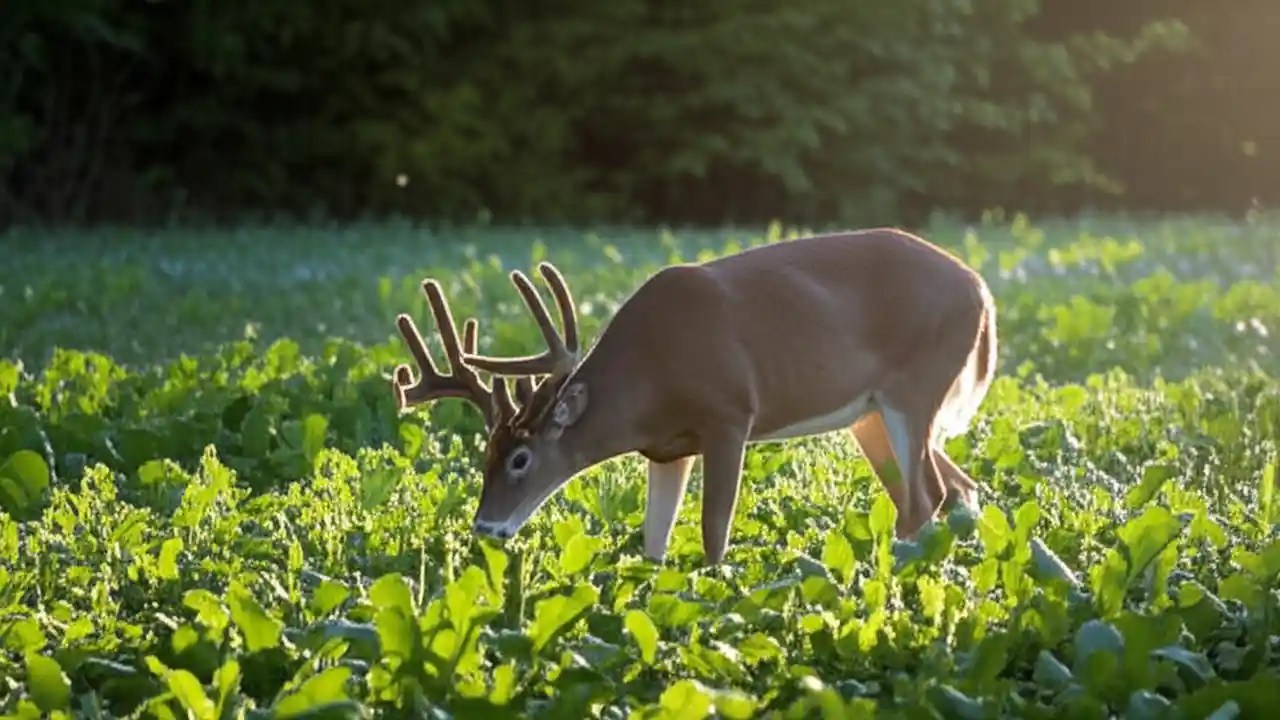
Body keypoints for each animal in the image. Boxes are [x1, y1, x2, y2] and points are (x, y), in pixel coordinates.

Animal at [391, 227, 998, 565]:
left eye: (520, 458)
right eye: (485, 456)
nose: (485, 529)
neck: (651, 379)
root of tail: (981, 288)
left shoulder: (729, 413)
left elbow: (713, 532)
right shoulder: (666, 448)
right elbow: (653, 542)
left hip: (914, 387)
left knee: (926, 495)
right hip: (868, 415)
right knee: (954, 488)